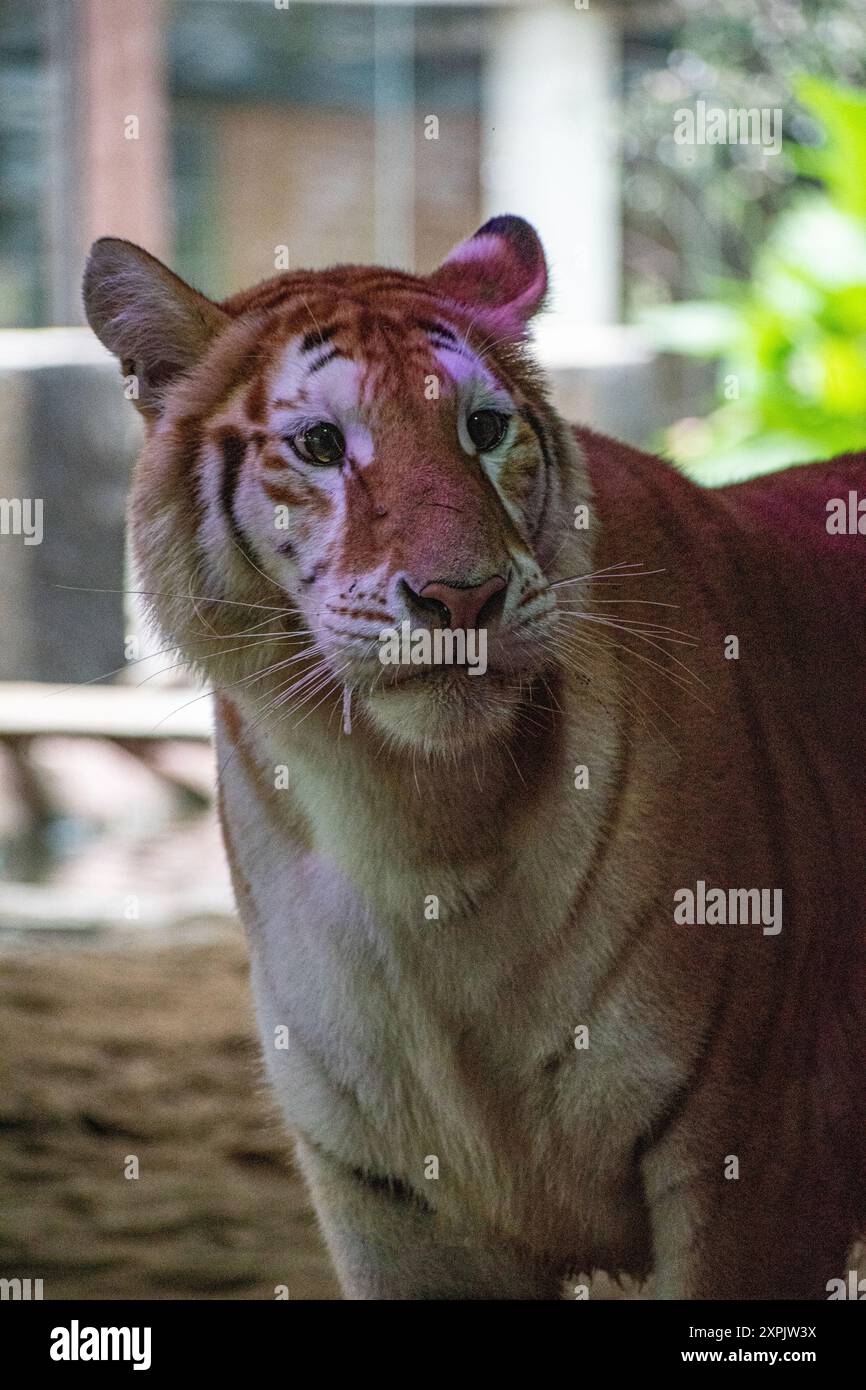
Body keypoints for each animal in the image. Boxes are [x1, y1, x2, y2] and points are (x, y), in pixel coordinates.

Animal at [84, 215, 866, 1300]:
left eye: (484, 430)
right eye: (321, 445)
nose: (462, 597)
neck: (419, 818)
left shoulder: (757, 1157)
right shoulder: (387, 1198)